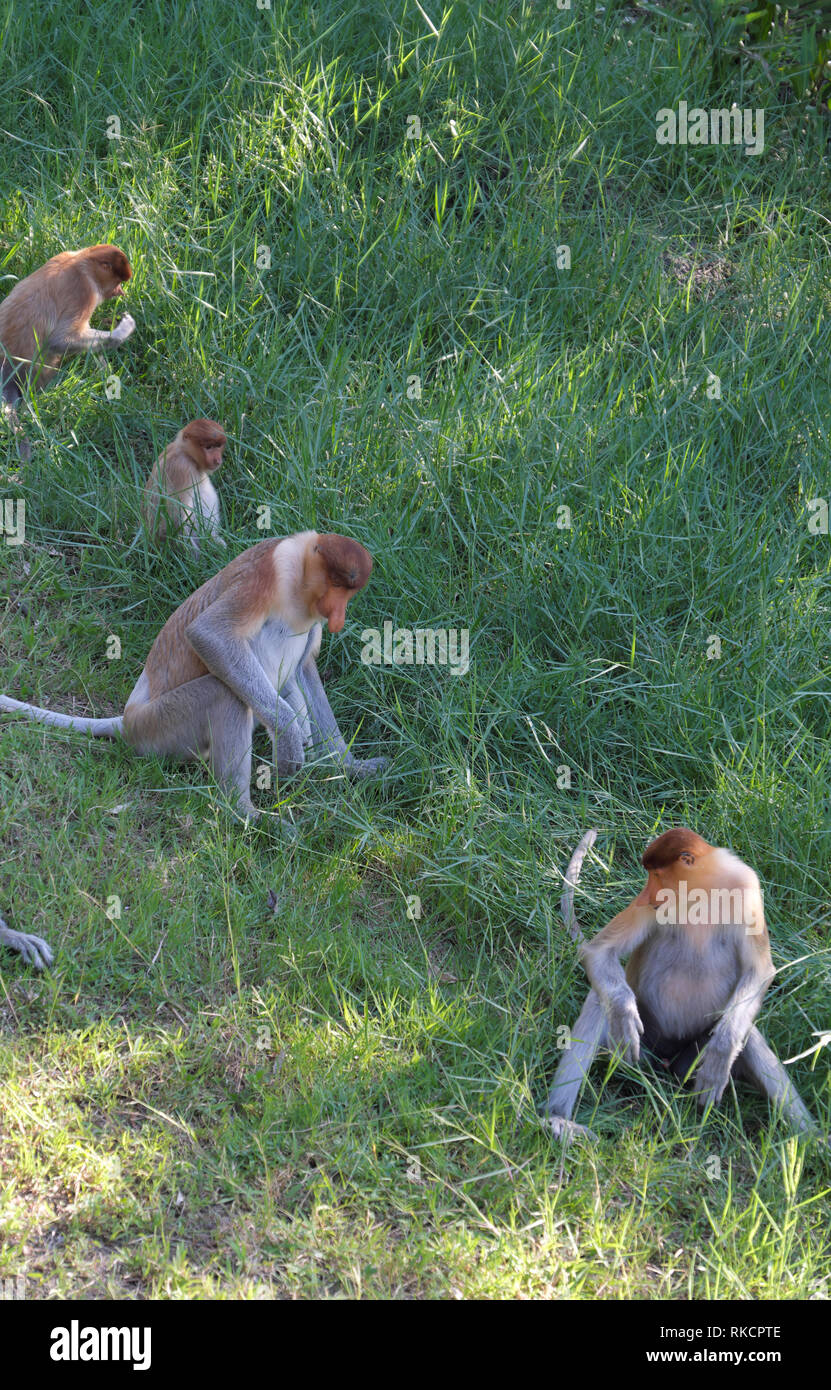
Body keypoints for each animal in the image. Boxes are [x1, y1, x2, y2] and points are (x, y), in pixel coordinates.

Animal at [0, 244, 135, 460]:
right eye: (117, 281)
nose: (120, 291)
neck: (81, 262)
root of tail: (7, 373)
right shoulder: (85, 292)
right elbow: (59, 340)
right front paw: (123, 330)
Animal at [0, 532, 387, 819]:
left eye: (349, 592)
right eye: (336, 585)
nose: (338, 617)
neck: (301, 579)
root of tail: (128, 721)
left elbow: (306, 666)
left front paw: (350, 765)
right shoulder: (268, 574)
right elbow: (209, 634)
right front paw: (290, 738)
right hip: (162, 726)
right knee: (224, 692)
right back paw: (248, 815)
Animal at [142, 419, 227, 552]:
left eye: (218, 446)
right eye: (208, 447)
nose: (217, 460)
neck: (185, 452)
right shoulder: (182, 469)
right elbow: (177, 521)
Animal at [545, 828, 823, 1142]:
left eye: (656, 875)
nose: (646, 895)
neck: (703, 892)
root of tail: (665, 1063)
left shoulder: (747, 890)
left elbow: (759, 970)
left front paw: (720, 1055)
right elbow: (599, 953)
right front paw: (625, 1017)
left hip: (693, 1053)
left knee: (747, 1034)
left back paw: (813, 1140)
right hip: (643, 1045)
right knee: (598, 999)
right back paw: (557, 1118)